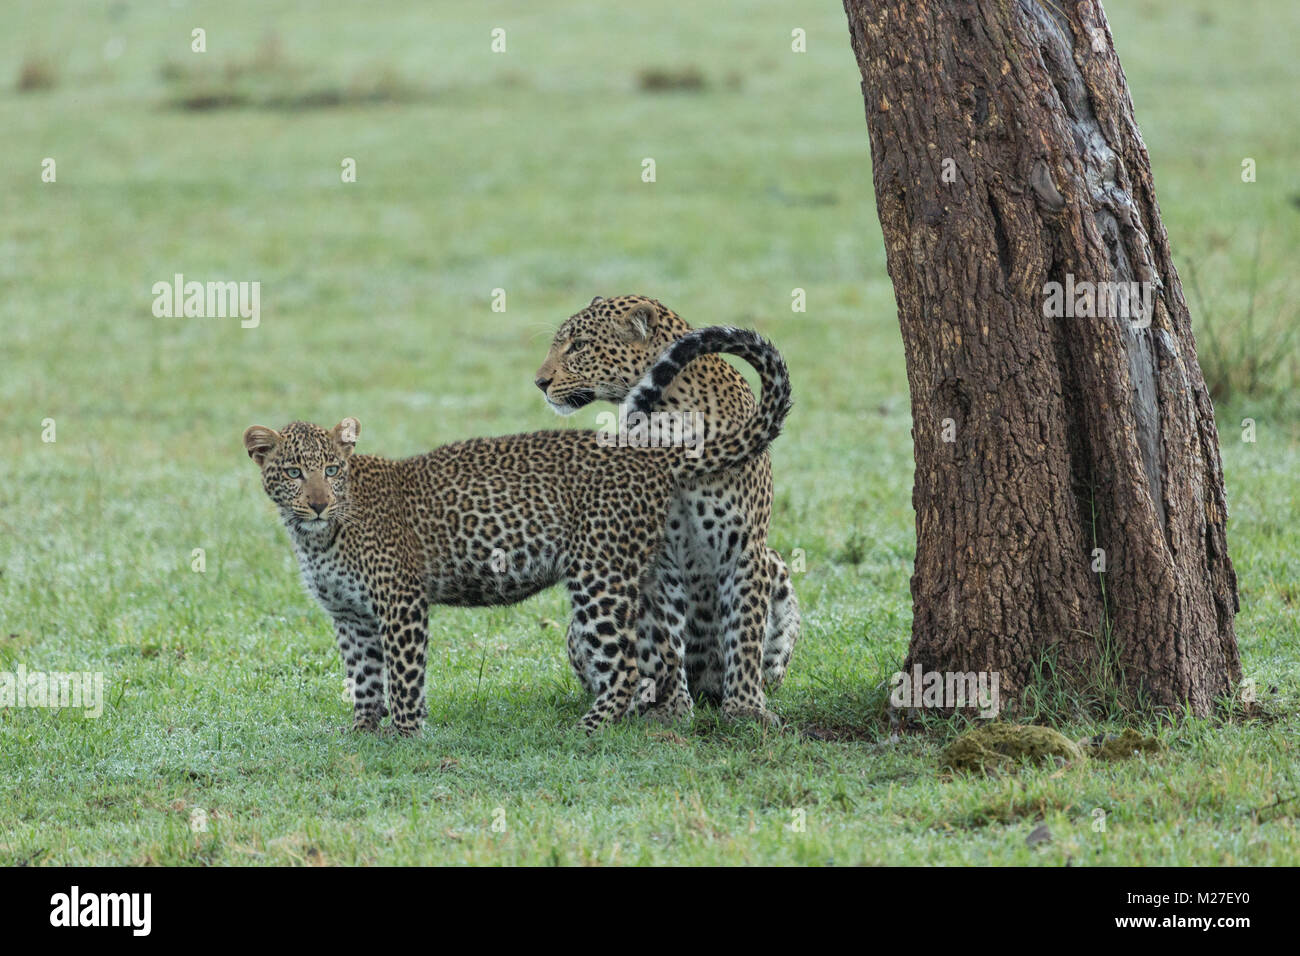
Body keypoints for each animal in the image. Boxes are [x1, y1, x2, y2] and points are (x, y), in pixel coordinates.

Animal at [243, 325, 791, 736]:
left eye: (333, 469)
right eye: (294, 472)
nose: (319, 502)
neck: (314, 537)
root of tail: (649, 453)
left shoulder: (400, 604)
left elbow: (403, 677)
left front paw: (407, 736)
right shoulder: (350, 617)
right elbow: (364, 680)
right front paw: (362, 733)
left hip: (599, 575)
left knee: (624, 666)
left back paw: (585, 731)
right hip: (653, 576)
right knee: (661, 655)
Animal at [535, 295, 800, 724]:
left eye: (578, 346)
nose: (539, 383)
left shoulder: (745, 549)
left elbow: (745, 634)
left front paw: (746, 708)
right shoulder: (660, 559)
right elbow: (663, 640)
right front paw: (673, 709)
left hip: (775, 566)